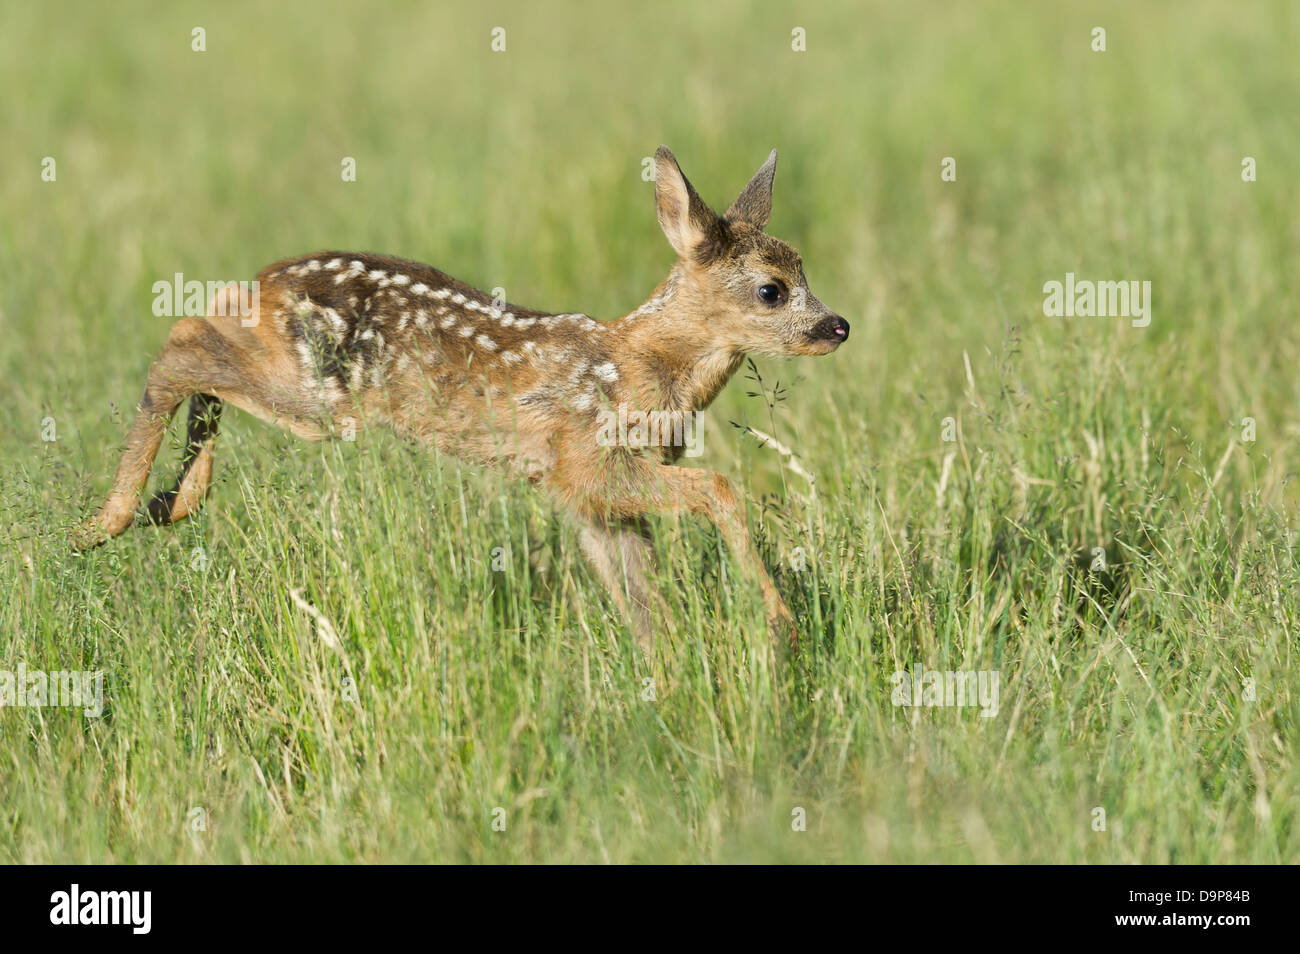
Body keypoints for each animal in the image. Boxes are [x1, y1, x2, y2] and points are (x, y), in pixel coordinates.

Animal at [74, 146, 849, 659]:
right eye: (773, 289)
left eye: (805, 270)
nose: (837, 326)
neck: (646, 365)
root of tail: (269, 276)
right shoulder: (586, 458)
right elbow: (719, 488)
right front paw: (783, 624)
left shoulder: (589, 497)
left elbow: (641, 597)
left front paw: (665, 672)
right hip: (318, 396)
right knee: (183, 339)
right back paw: (105, 522)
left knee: (200, 342)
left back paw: (170, 500)